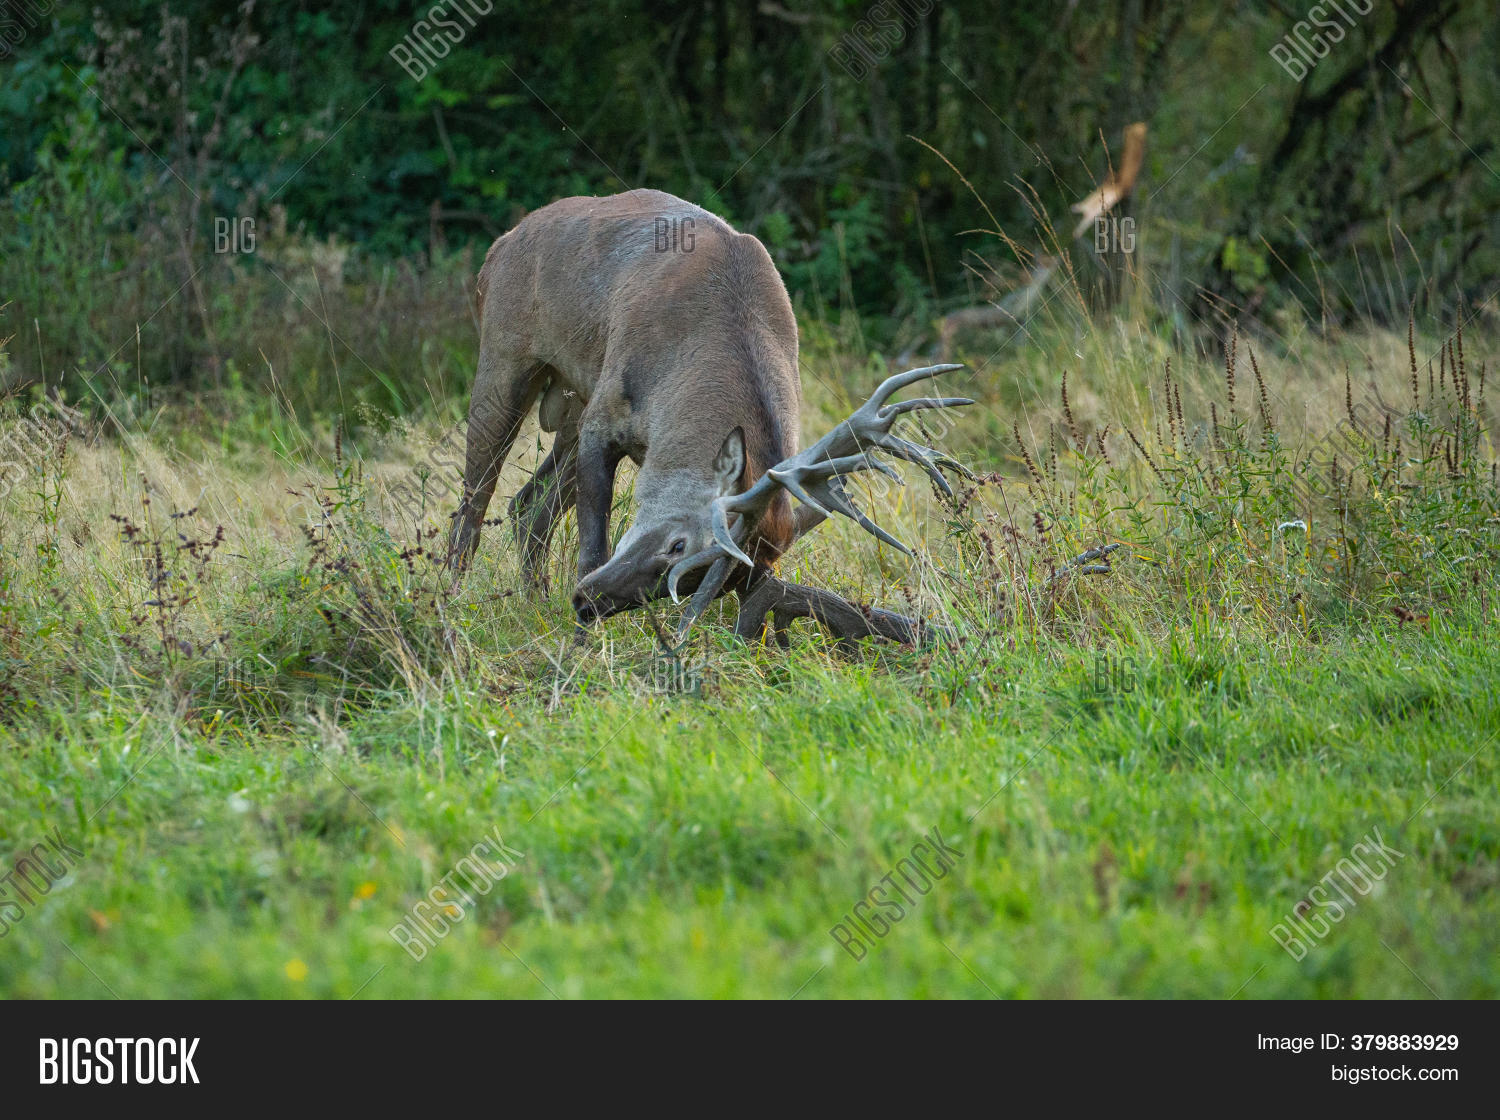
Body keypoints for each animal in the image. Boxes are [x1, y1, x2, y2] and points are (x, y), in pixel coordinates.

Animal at [445, 188, 974, 646]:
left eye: (694, 586)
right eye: (679, 544)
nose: (587, 603)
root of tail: (499, 246)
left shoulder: (610, 421)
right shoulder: (605, 417)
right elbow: (591, 548)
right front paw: (580, 648)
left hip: (573, 403)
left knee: (528, 505)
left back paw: (534, 599)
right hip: (506, 359)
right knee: (473, 503)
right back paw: (449, 600)